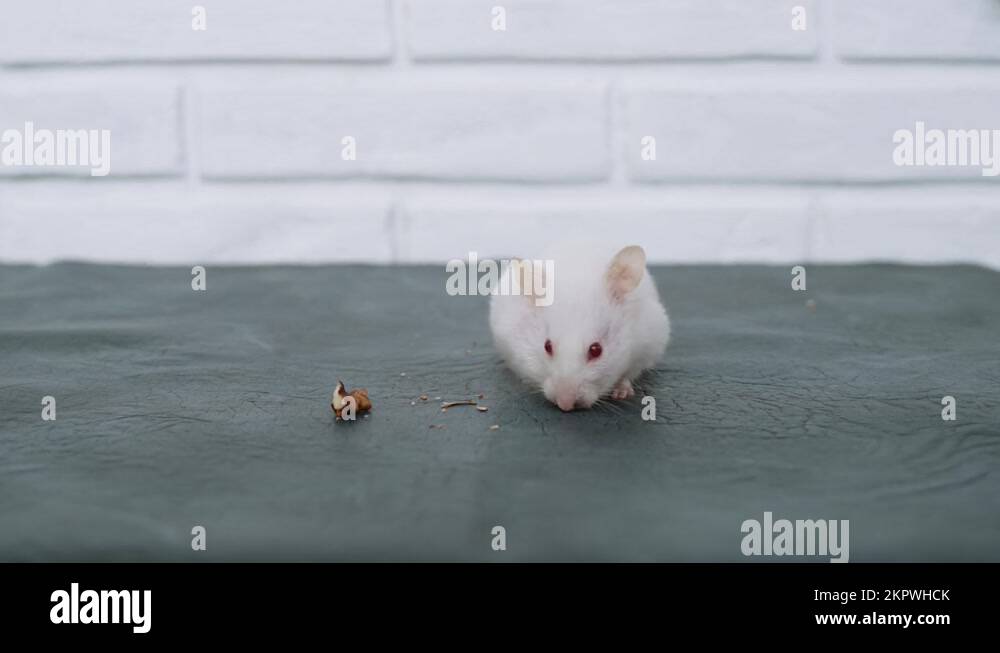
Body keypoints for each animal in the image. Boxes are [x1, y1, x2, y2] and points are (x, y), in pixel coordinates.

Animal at [489, 241, 670, 412]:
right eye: (547, 346)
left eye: (596, 350)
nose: (565, 406)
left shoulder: (647, 346)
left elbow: (628, 375)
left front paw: (622, 394)